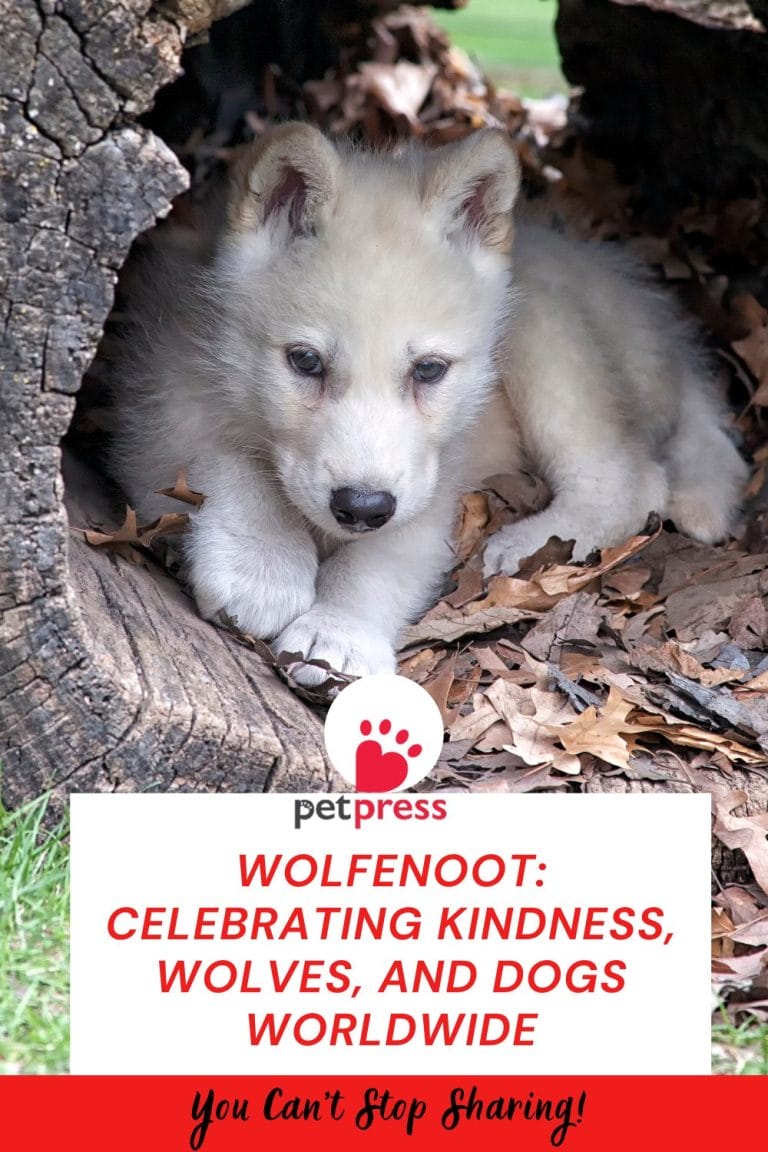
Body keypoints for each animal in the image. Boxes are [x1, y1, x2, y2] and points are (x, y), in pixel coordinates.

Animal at [110, 122, 747, 684]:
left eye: (429, 370)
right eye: (306, 362)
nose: (361, 508)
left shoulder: (433, 486)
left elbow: (381, 562)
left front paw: (338, 633)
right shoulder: (156, 401)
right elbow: (225, 465)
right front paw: (260, 563)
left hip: (547, 342)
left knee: (631, 478)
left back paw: (526, 546)